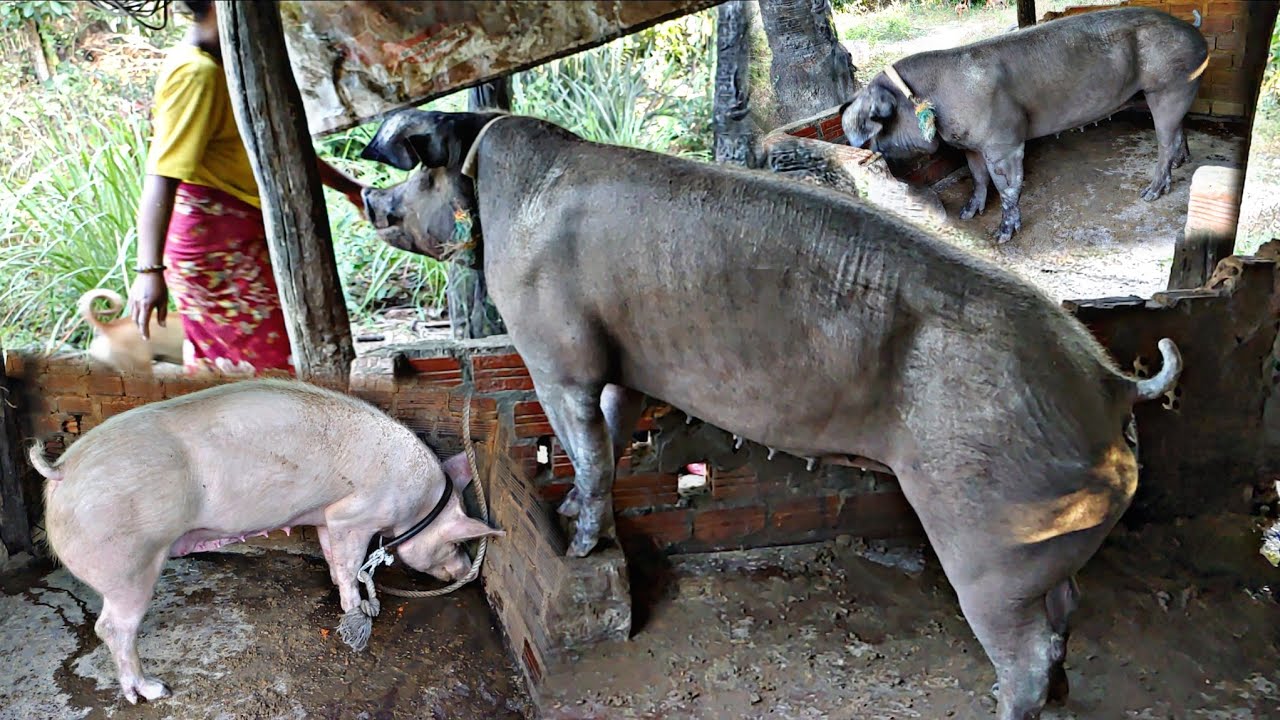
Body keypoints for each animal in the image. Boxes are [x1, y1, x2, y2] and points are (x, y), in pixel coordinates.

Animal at [28, 379, 501, 704]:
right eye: (456, 542)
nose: (465, 570)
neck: (418, 507)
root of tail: (61, 470)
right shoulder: (354, 515)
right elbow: (352, 564)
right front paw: (359, 612)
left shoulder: (327, 516)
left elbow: (333, 559)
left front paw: (356, 600)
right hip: (128, 564)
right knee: (111, 627)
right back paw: (151, 691)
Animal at [357, 109, 1183, 719]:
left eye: (416, 170)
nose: (368, 197)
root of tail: (1111, 382)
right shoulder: (623, 364)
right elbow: (613, 436)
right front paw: (565, 510)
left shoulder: (560, 356)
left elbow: (585, 447)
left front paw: (581, 541)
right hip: (1049, 536)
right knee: (1066, 610)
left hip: (991, 534)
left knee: (1028, 649)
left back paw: (1004, 703)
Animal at [839, 7, 1209, 243]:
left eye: (873, 128)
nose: (859, 149)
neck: (930, 99)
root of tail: (1193, 30)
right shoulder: (971, 145)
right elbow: (977, 177)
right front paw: (968, 214)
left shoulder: (1003, 142)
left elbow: (1008, 188)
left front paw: (1002, 236)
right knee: (1178, 131)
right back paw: (1182, 163)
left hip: (1170, 86)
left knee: (1165, 141)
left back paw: (1150, 194)